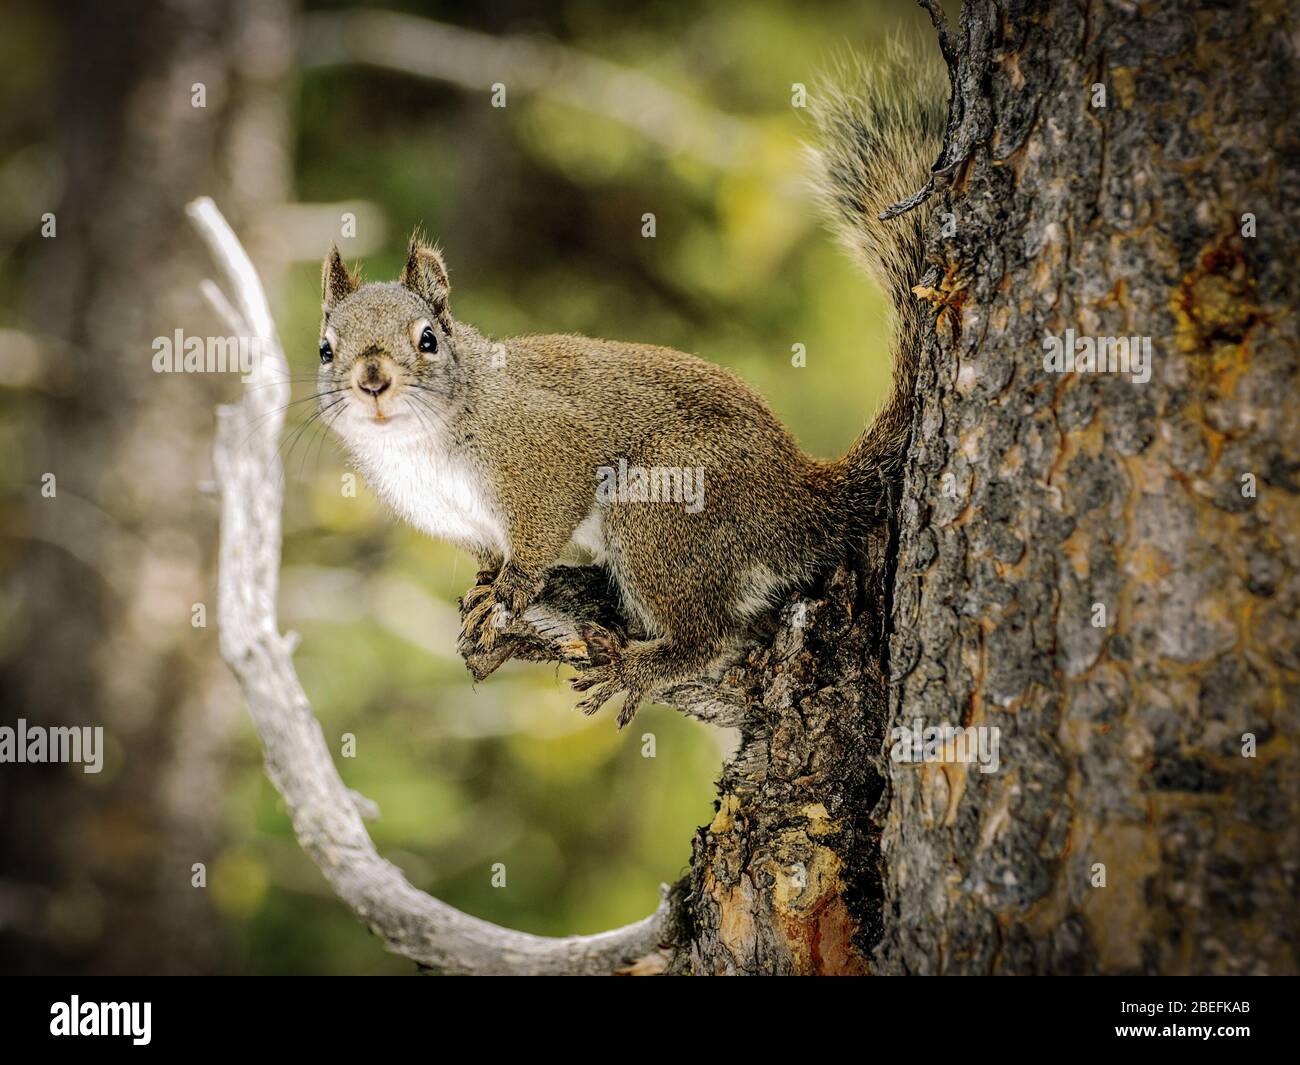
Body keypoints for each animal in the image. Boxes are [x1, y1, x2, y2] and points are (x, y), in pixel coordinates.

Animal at [317, 50, 946, 727]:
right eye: (325, 348)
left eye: (429, 340)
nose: (372, 380)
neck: (420, 444)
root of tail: (796, 500)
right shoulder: (458, 521)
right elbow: (489, 559)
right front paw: (488, 592)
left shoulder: (544, 456)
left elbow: (536, 542)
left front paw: (510, 592)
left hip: (659, 510)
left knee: (712, 637)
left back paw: (638, 666)